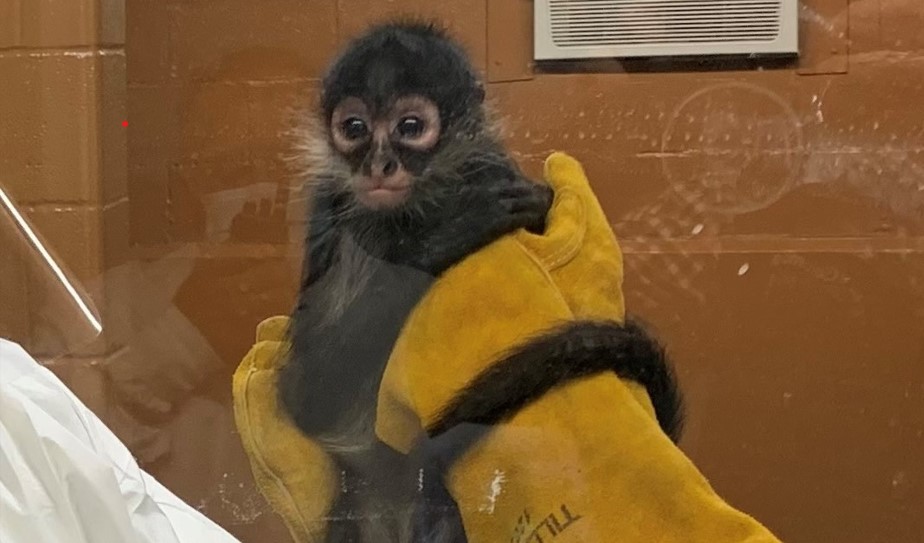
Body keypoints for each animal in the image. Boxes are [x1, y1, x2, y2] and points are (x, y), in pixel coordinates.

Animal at [277, 20, 683, 543]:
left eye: (411, 128)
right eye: (354, 129)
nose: (378, 165)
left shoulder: (495, 165)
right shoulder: (326, 207)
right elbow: (305, 398)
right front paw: (451, 230)